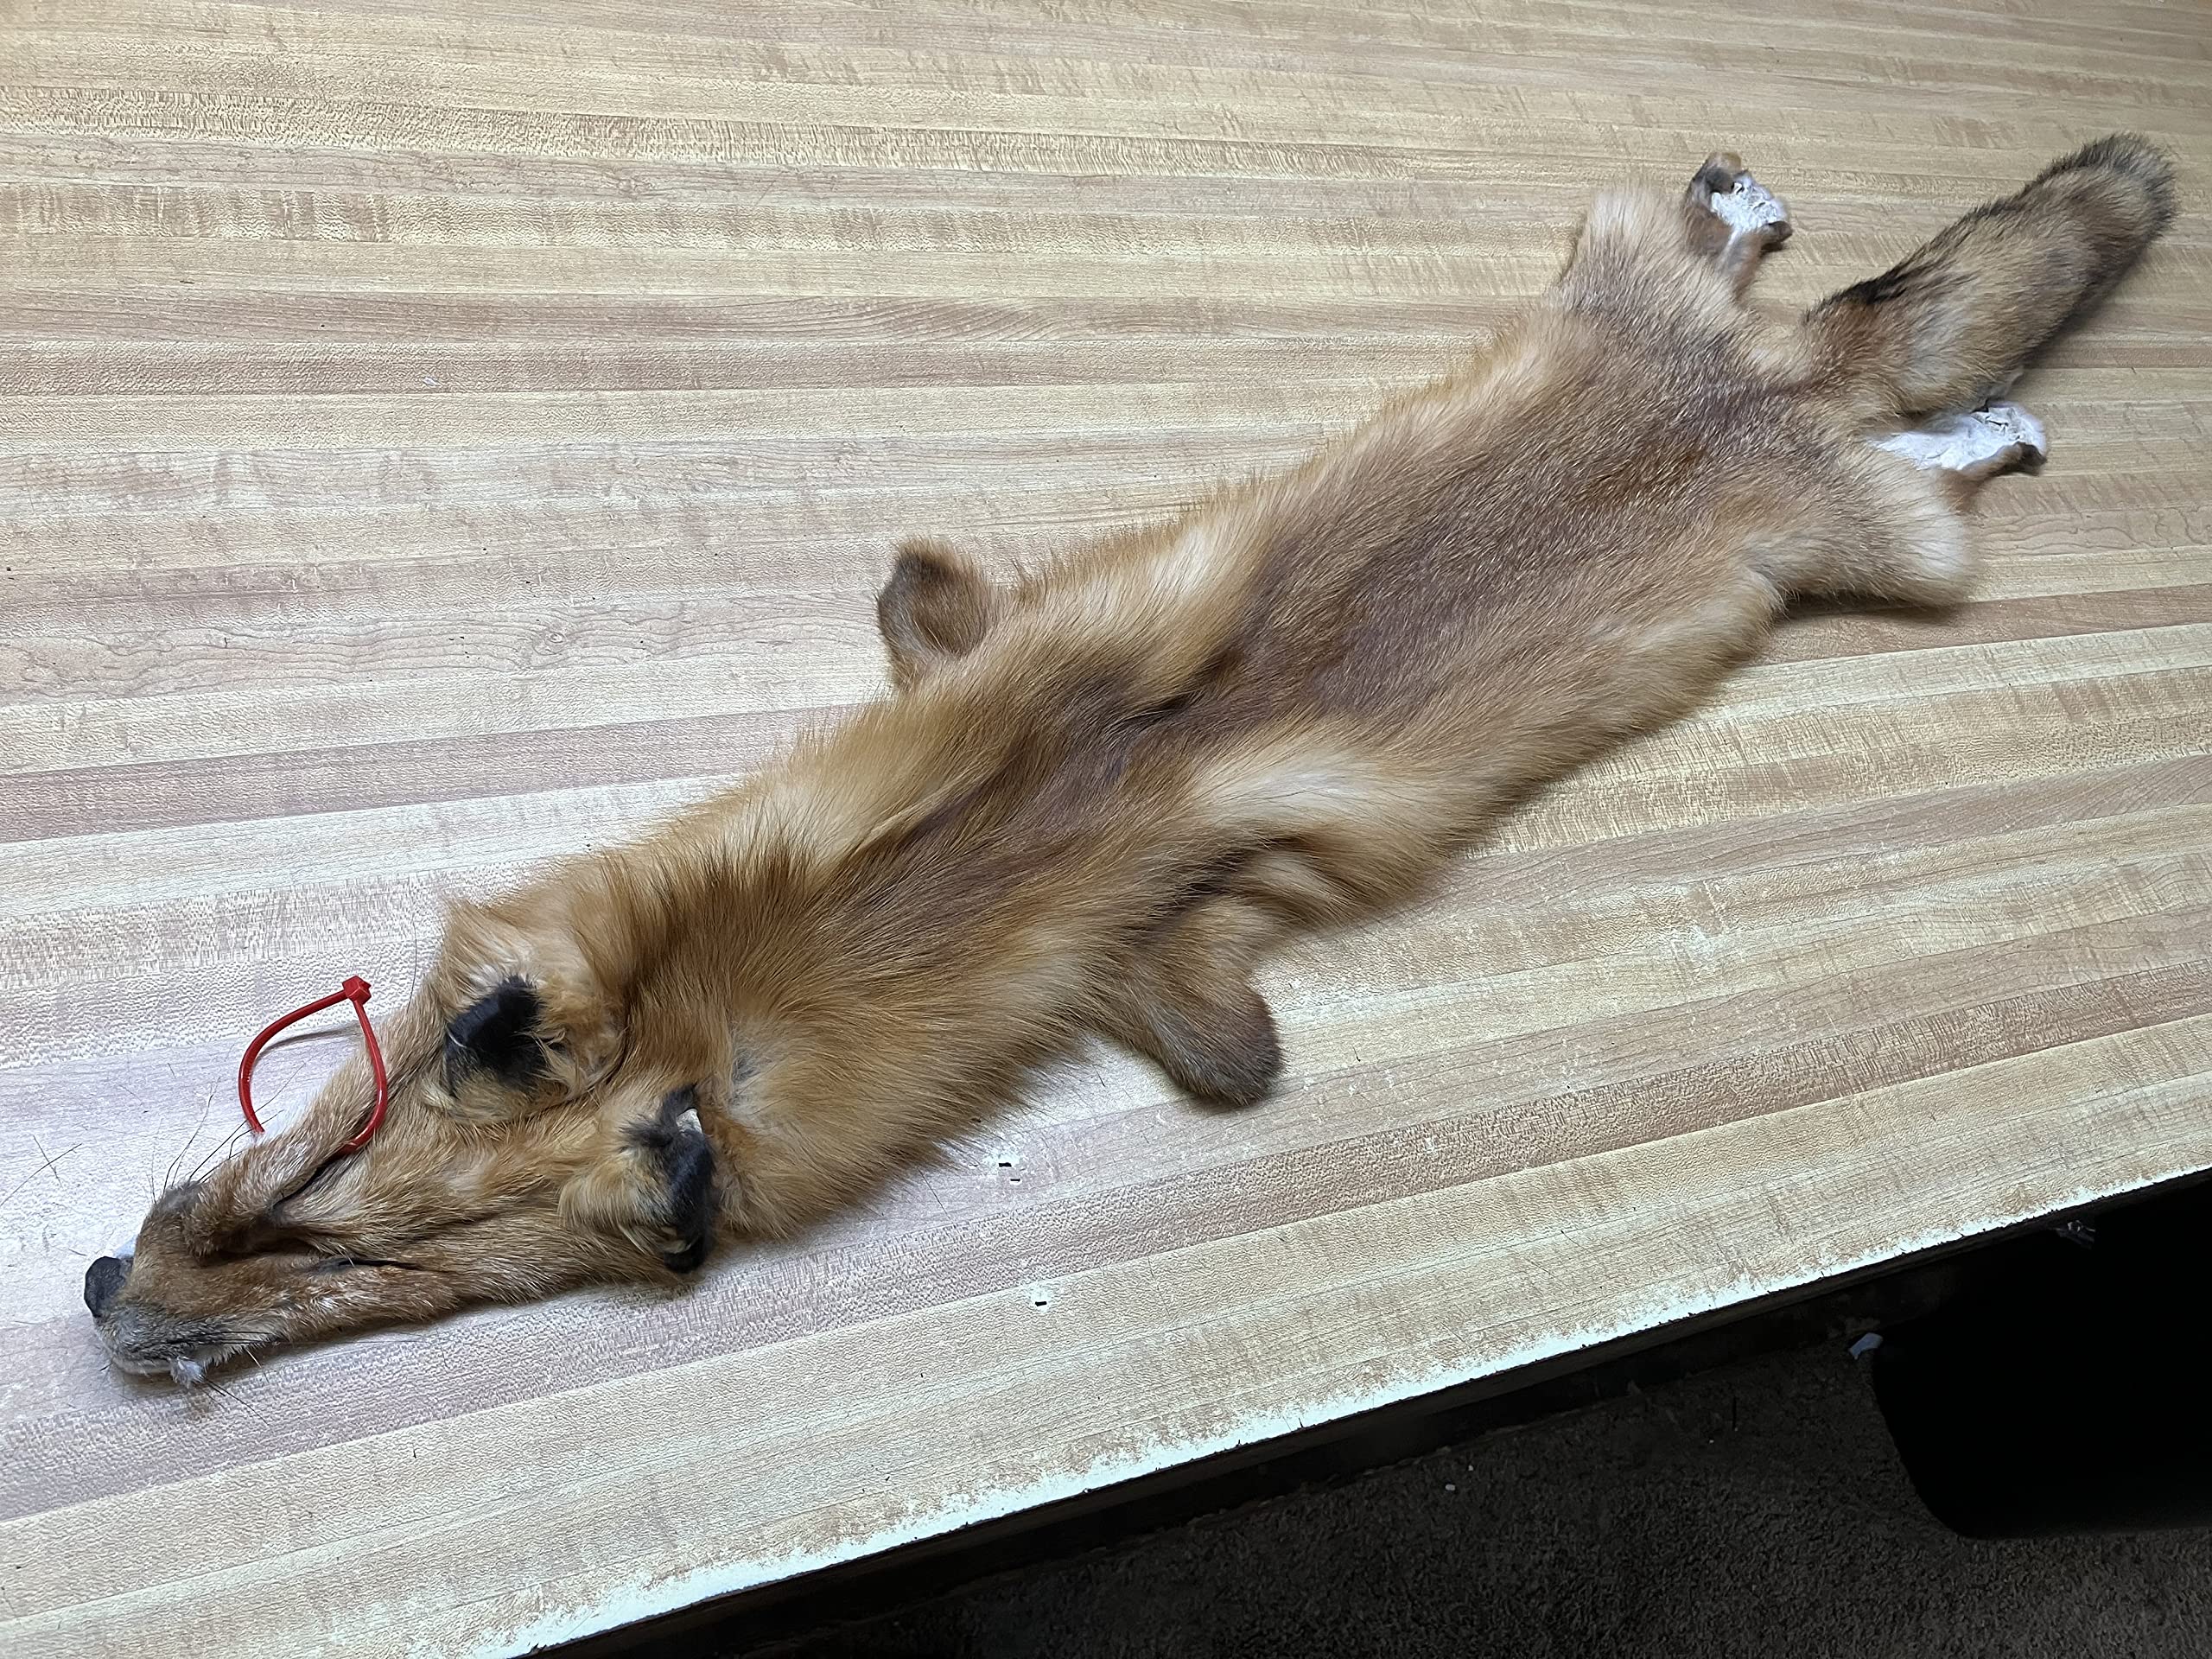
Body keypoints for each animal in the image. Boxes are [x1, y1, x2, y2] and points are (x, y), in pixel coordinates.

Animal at [85, 138, 2175, 1384]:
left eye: (346, 1274)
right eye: (300, 1192)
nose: (105, 1303)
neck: (940, 868)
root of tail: (1771, 398)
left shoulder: (1160, 950)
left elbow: (1237, 1065)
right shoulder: (971, 638)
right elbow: (923, 590)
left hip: (1888, 556)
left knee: (1924, 426)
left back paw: (1973, 410)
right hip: (1601, 293)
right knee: (1757, 277)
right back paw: (1748, 218)